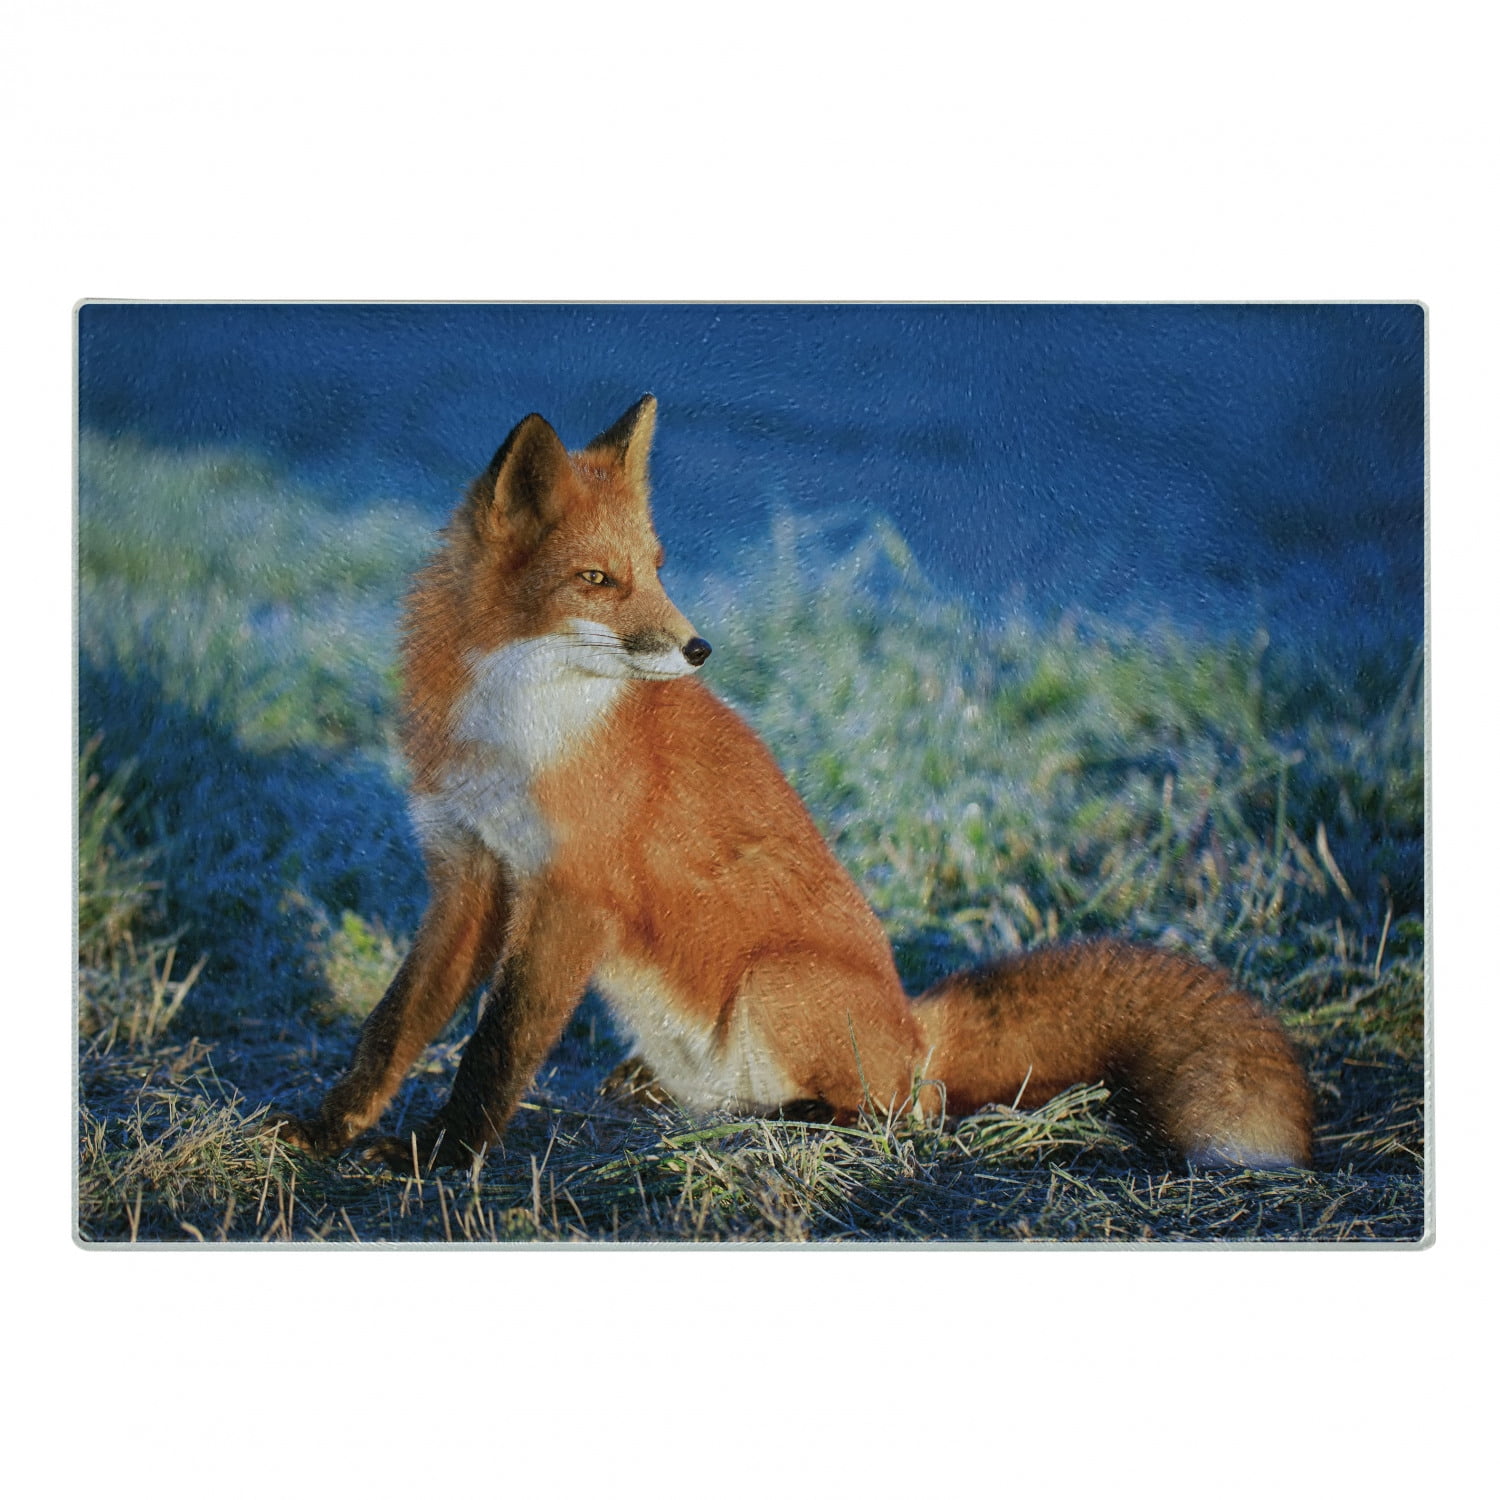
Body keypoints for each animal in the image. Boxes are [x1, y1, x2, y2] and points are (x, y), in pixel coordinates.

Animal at [273, 395, 1315, 1172]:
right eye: (599, 579)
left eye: (658, 567)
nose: (698, 648)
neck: (516, 727)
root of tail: (916, 1027)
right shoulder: (468, 873)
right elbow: (393, 1026)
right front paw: (328, 1131)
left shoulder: (572, 894)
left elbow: (499, 1048)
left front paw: (442, 1159)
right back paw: (669, 1094)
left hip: (775, 981)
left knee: (899, 1117)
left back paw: (791, 1121)